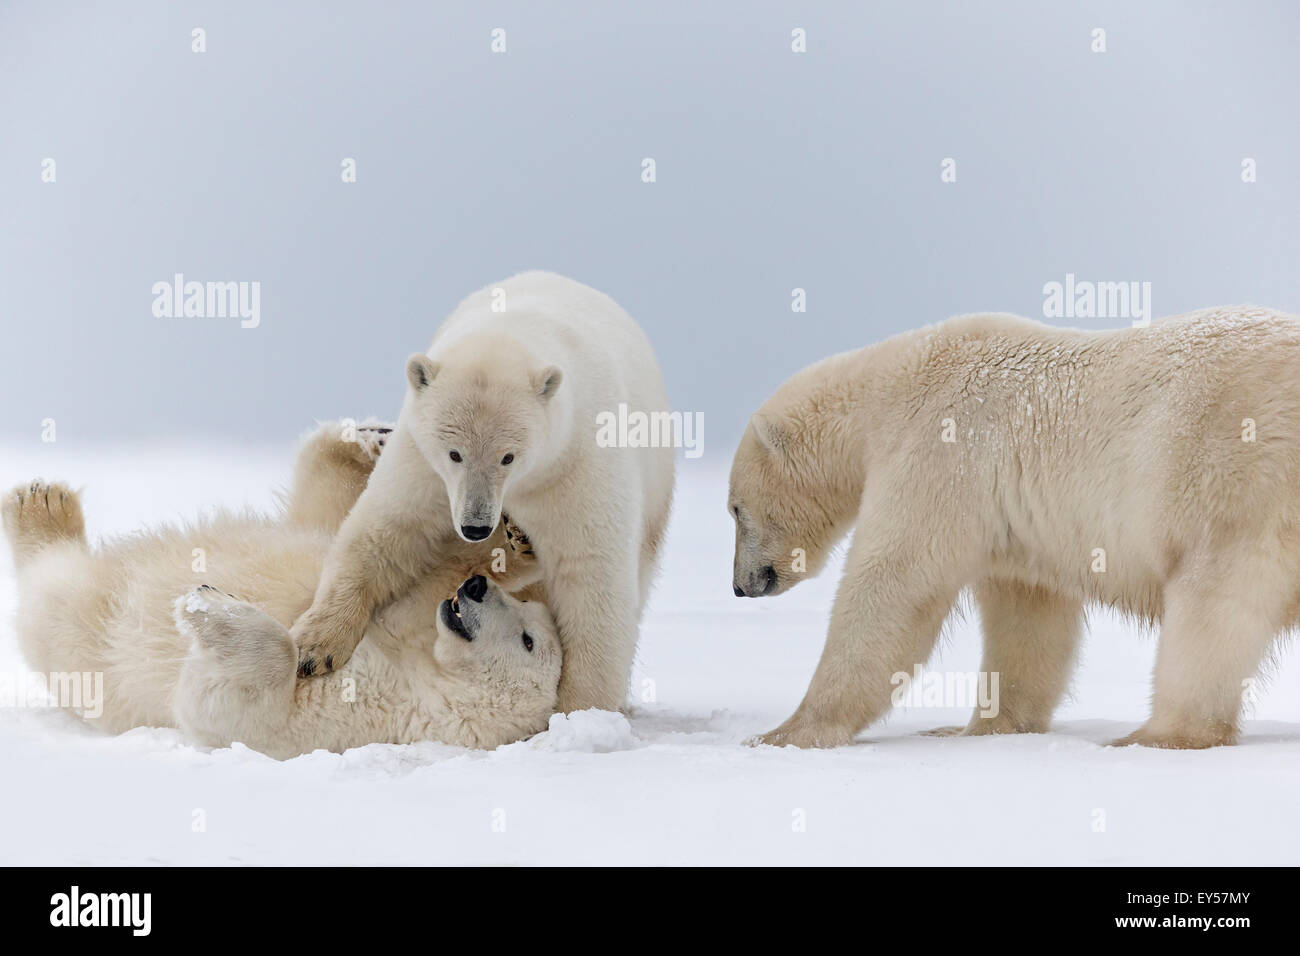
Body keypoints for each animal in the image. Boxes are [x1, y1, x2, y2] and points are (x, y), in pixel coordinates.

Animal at [2, 421, 561, 758]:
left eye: (528, 641)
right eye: (524, 615)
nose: (475, 590)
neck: (421, 669)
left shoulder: (362, 715)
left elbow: (228, 705)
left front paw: (211, 605)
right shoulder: (413, 614)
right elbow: (411, 568)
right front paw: (513, 541)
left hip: (91, 646)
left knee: (60, 603)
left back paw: (41, 507)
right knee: (332, 508)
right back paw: (366, 436)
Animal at [291, 271, 676, 713]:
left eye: (508, 456)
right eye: (454, 453)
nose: (475, 526)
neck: (513, 328)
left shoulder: (576, 463)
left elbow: (592, 574)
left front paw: (580, 712)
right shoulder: (423, 462)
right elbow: (388, 529)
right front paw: (312, 648)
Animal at [729, 305, 1300, 750]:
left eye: (734, 509)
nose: (740, 586)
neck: (889, 392)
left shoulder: (939, 449)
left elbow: (893, 585)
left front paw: (784, 733)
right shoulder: (1014, 522)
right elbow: (1028, 617)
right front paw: (980, 728)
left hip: (1229, 476)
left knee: (1212, 606)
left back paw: (1155, 734)